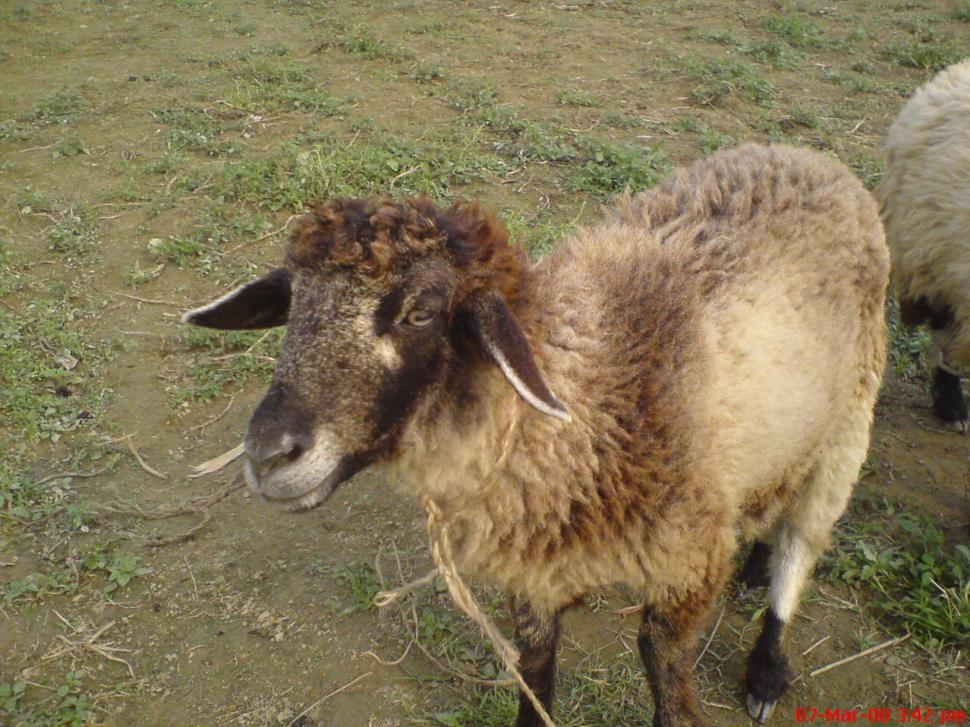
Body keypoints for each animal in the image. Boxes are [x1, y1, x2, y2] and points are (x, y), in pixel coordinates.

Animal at [181, 143, 889, 726]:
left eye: (420, 313)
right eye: (294, 303)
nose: (268, 456)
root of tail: (813, 158)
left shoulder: (688, 566)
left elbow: (663, 670)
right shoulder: (535, 569)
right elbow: (535, 667)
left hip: (849, 426)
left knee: (801, 545)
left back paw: (767, 664)